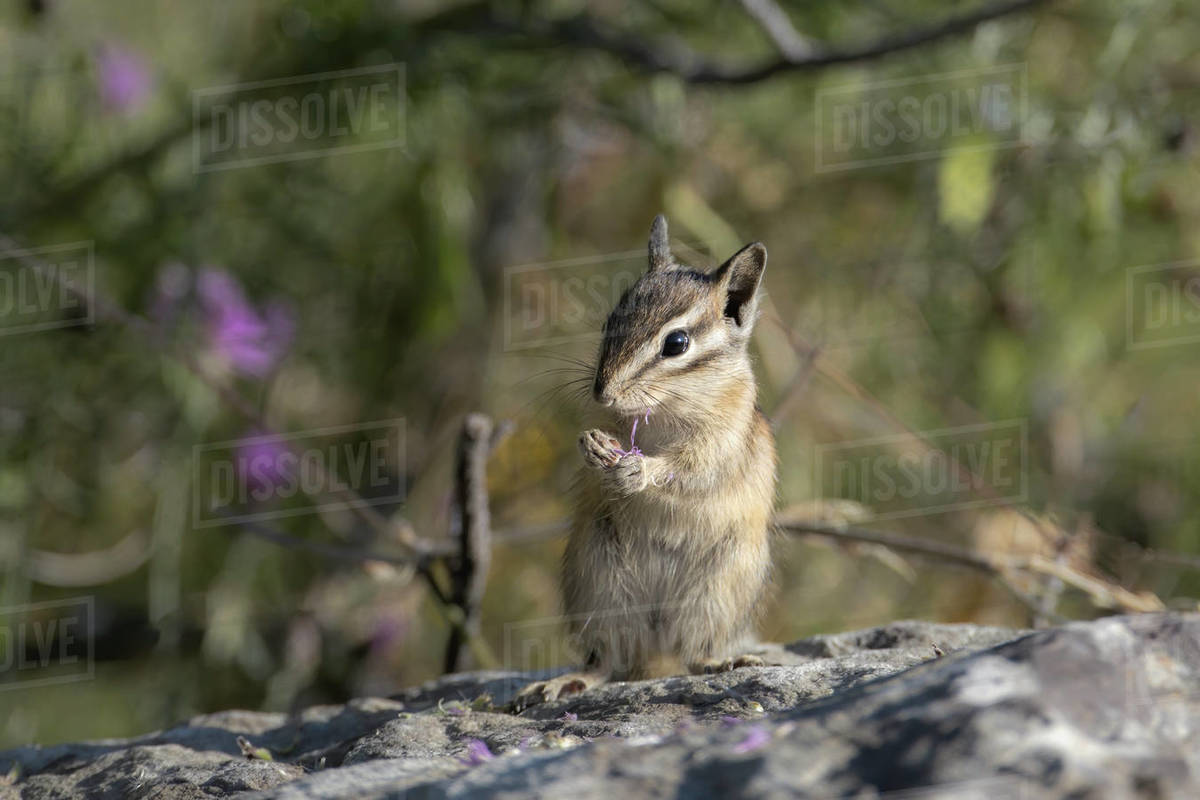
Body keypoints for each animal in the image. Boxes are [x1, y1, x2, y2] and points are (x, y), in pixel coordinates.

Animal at [515, 214, 777, 710]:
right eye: (608, 322)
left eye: (676, 343)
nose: (603, 391)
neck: (667, 406)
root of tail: (653, 654)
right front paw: (592, 447)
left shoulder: (720, 442)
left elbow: (691, 468)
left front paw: (638, 470)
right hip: (600, 586)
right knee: (605, 659)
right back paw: (563, 682)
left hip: (714, 592)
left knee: (693, 654)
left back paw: (725, 661)